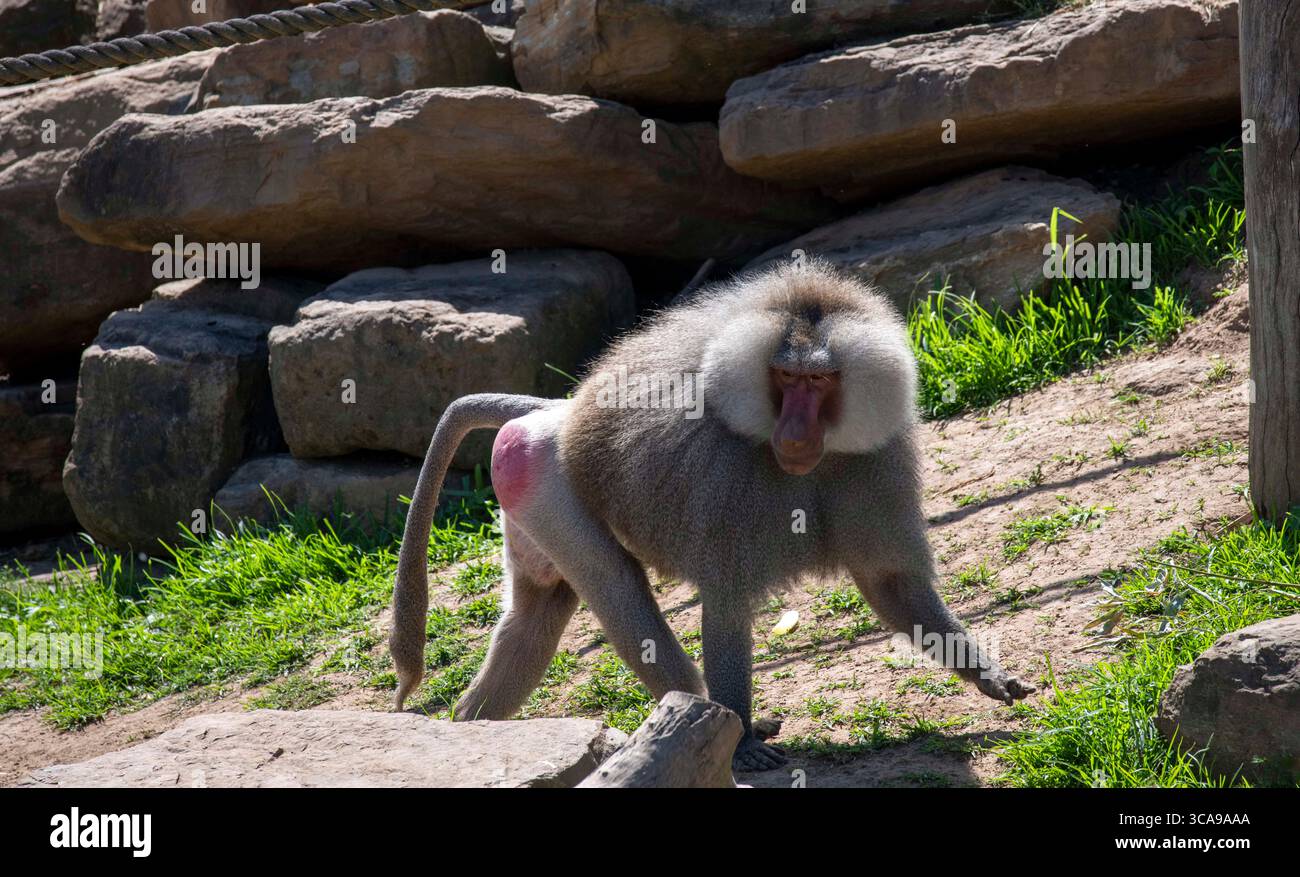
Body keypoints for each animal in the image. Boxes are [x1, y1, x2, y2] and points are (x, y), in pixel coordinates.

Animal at [390, 259, 1035, 772]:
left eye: (820, 381)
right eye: (786, 378)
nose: (794, 434)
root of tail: (559, 411)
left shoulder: (876, 460)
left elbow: (891, 582)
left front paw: (988, 676)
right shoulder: (724, 482)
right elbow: (725, 607)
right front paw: (744, 745)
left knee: (537, 614)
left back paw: (469, 728)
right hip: (544, 482)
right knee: (620, 595)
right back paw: (713, 724)